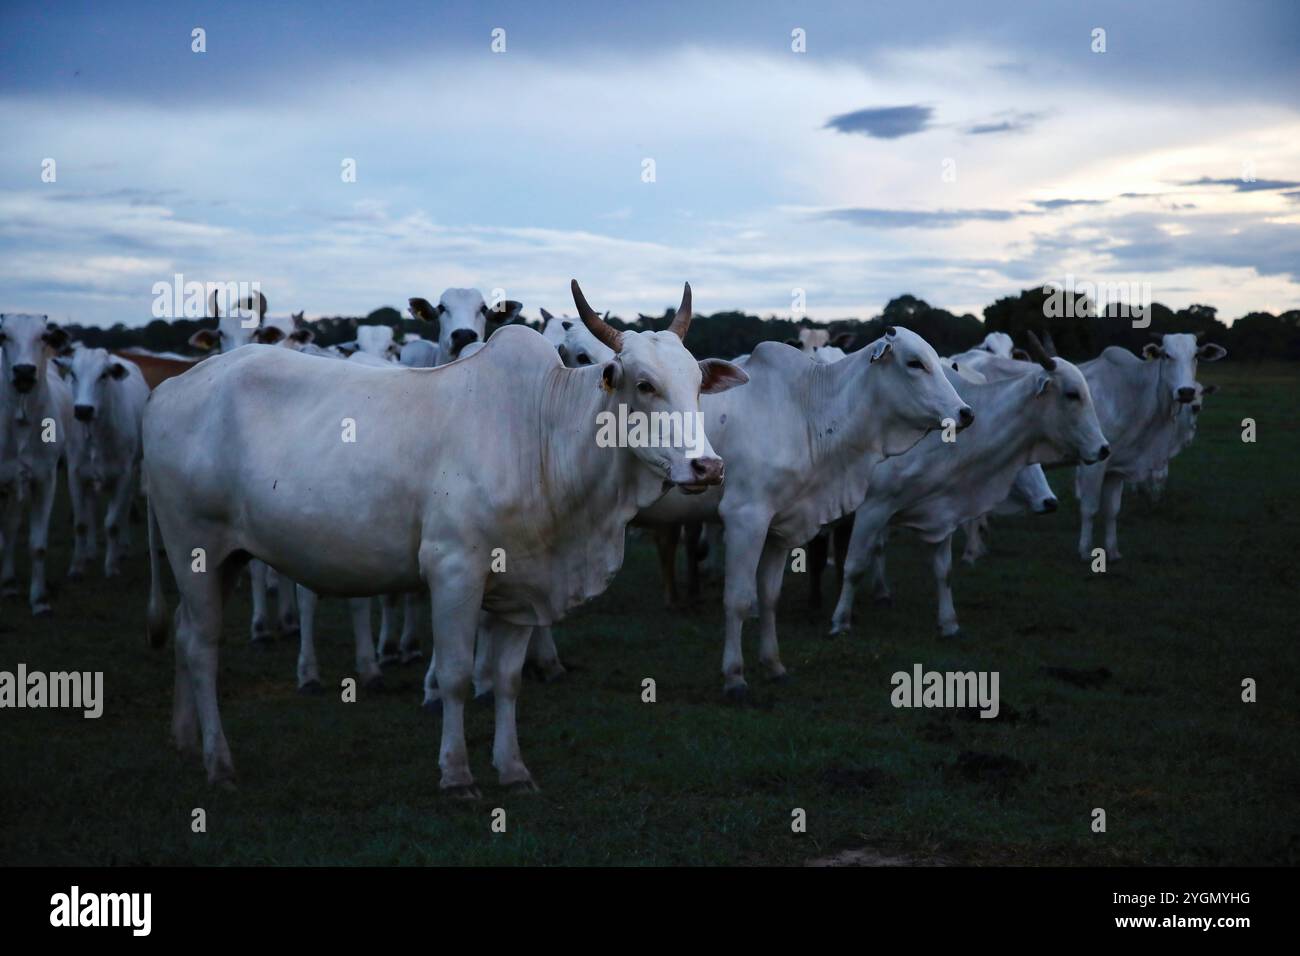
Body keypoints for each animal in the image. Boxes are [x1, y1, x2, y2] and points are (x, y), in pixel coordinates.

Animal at [55, 347, 150, 579]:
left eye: (104, 375)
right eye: (73, 374)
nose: (83, 410)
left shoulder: (124, 474)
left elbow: (113, 523)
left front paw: (112, 566)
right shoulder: (75, 474)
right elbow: (81, 522)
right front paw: (77, 566)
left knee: (125, 507)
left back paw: (123, 547)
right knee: (90, 508)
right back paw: (90, 551)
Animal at [143, 280, 746, 791]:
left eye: (698, 383)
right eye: (644, 384)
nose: (708, 467)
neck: (542, 433)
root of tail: (171, 388)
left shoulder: (524, 586)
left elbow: (506, 680)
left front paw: (513, 769)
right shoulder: (455, 571)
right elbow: (456, 675)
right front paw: (457, 774)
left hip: (225, 558)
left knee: (184, 631)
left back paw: (182, 738)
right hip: (196, 548)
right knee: (201, 646)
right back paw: (217, 761)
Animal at [637, 327, 972, 698]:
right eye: (915, 363)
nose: (965, 412)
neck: (807, 413)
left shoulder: (780, 528)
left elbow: (769, 596)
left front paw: (774, 666)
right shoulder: (745, 518)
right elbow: (738, 599)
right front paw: (734, 676)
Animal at [828, 335, 1109, 639]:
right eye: (1072, 394)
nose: (1103, 449)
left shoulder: (940, 509)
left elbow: (943, 571)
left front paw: (949, 623)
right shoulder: (873, 508)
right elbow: (855, 566)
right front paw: (840, 620)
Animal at [1076, 332, 1225, 561]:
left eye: (1195, 355)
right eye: (1166, 355)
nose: (1186, 392)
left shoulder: (1117, 467)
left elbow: (1112, 510)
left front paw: (1112, 551)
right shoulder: (1094, 463)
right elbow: (1090, 507)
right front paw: (1084, 551)